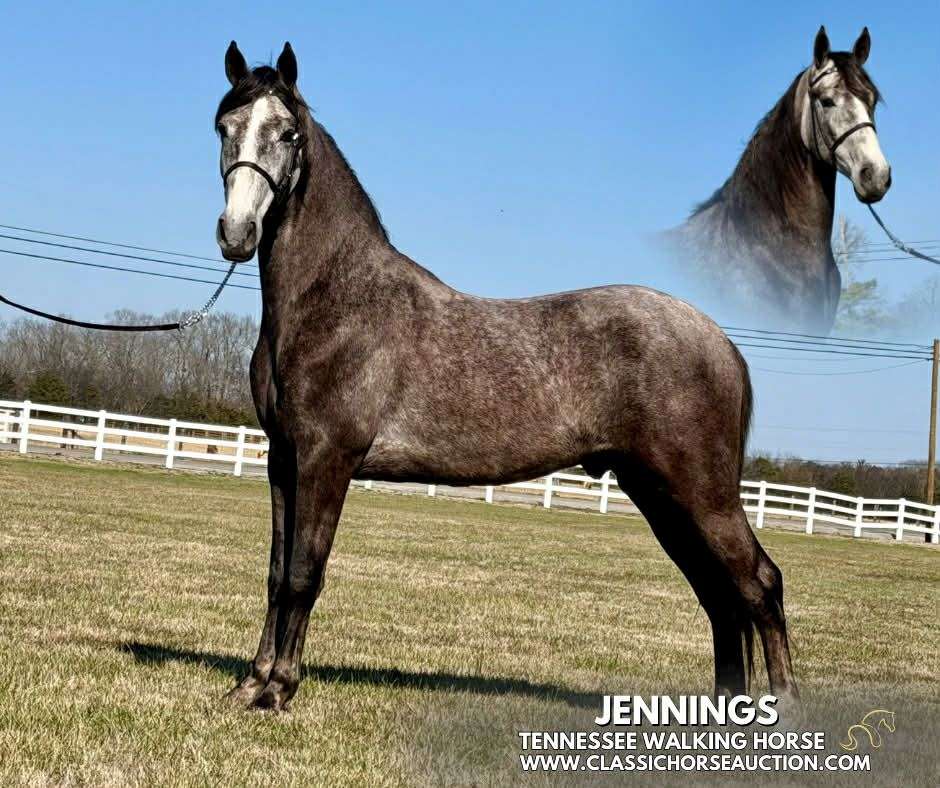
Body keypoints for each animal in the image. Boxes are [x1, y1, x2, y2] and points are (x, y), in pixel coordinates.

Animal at [213, 41, 799, 712]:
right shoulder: (282, 460)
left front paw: (280, 690)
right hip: (659, 493)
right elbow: (275, 574)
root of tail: (721, 341)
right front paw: (251, 684)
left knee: (759, 585)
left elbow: (304, 574)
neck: (333, 301)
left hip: (703, 493)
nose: (236, 233)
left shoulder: (324, 460)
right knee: (719, 599)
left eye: (287, 133)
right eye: (224, 127)